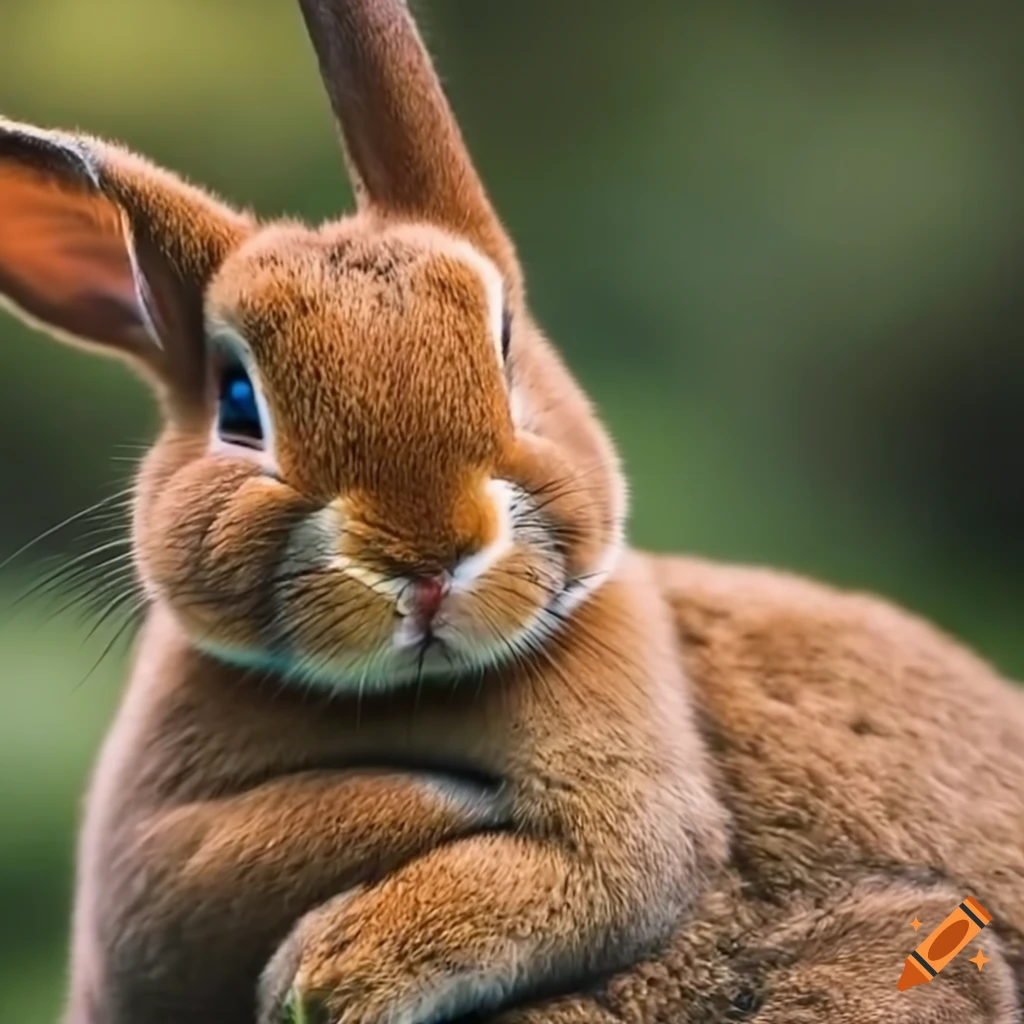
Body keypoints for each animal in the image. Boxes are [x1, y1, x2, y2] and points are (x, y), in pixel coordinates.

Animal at [0, 3, 1021, 1024]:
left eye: (503, 345)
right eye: (239, 406)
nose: (425, 556)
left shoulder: (621, 776)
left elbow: (597, 863)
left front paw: (327, 976)